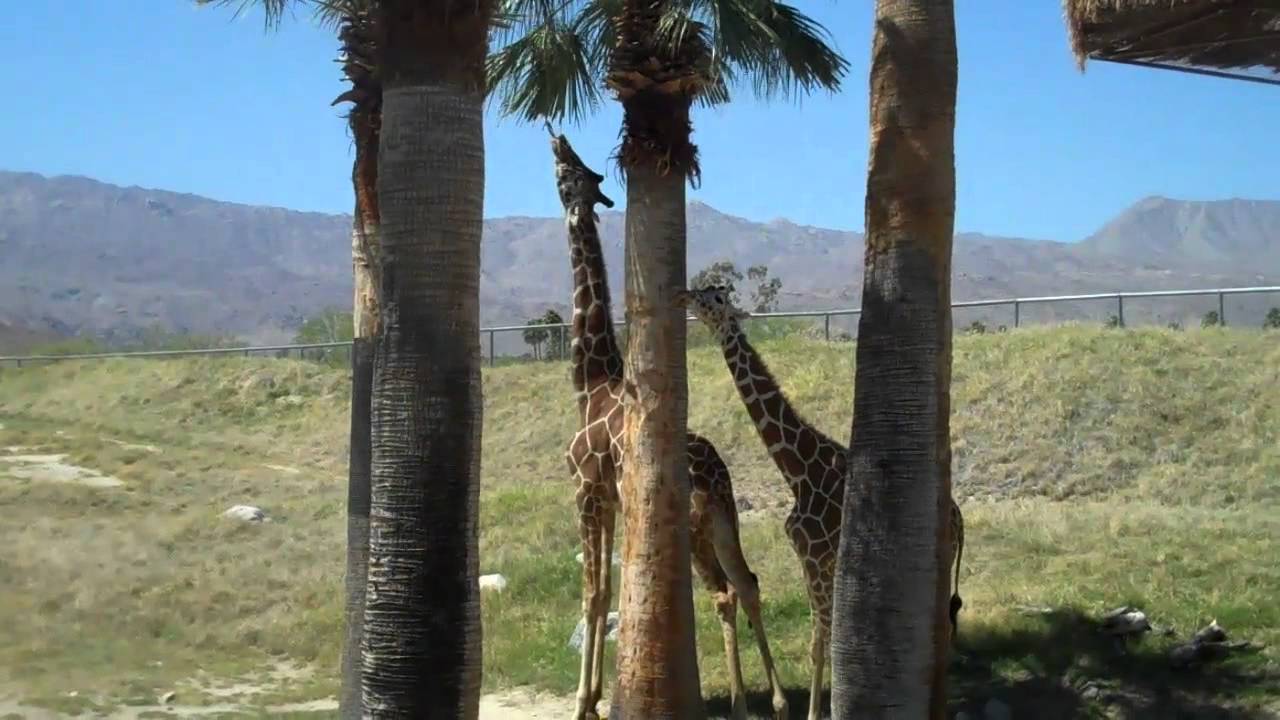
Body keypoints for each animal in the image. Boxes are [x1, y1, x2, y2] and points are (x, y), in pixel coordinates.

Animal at [548, 129, 788, 720]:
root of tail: (717, 473)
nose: (559, 139)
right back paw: (773, 700)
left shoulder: (584, 491)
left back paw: (744, 704)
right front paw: (594, 698)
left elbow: (592, 594)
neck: (591, 386)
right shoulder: (610, 501)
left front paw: (585, 702)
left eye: (570, 172)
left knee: (724, 590)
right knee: (746, 581)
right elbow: (606, 591)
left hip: (695, 527)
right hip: (724, 519)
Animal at [677, 284, 966, 720]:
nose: (686, 294)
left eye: (716, 298)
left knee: (942, 626)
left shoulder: (813, 556)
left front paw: (817, 713)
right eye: (705, 292)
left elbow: (820, 641)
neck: (797, 470)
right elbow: (825, 637)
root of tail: (959, 518)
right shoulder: (815, 559)